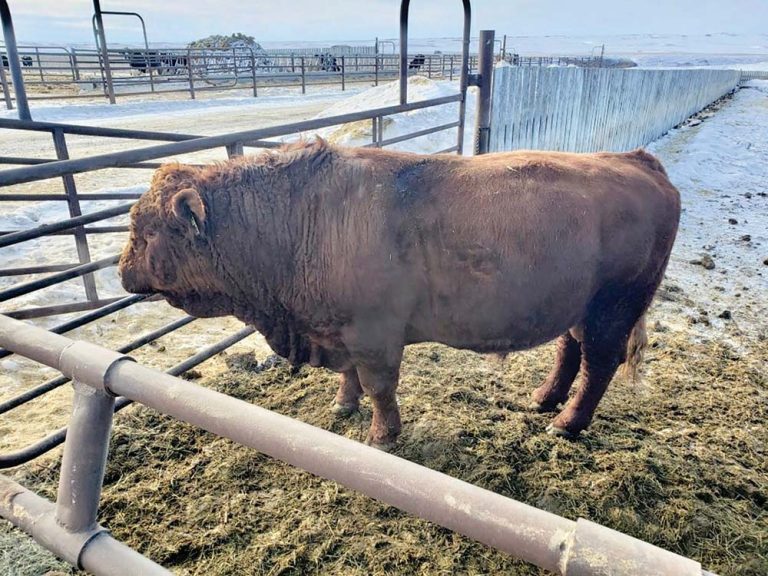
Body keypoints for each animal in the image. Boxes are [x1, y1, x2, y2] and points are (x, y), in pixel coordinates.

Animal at [119, 141, 680, 450]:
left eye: (147, 232)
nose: (122, 273)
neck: (301, 219)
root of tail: (639, 161)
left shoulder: (374, 335)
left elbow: (379, 387)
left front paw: (382, 434)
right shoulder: (339, 328)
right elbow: (349, 377)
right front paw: (343, 405)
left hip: (613, 307)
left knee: (599, 363)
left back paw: (566, 424)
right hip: (576, 305)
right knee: (570, 350)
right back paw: (544, 399)